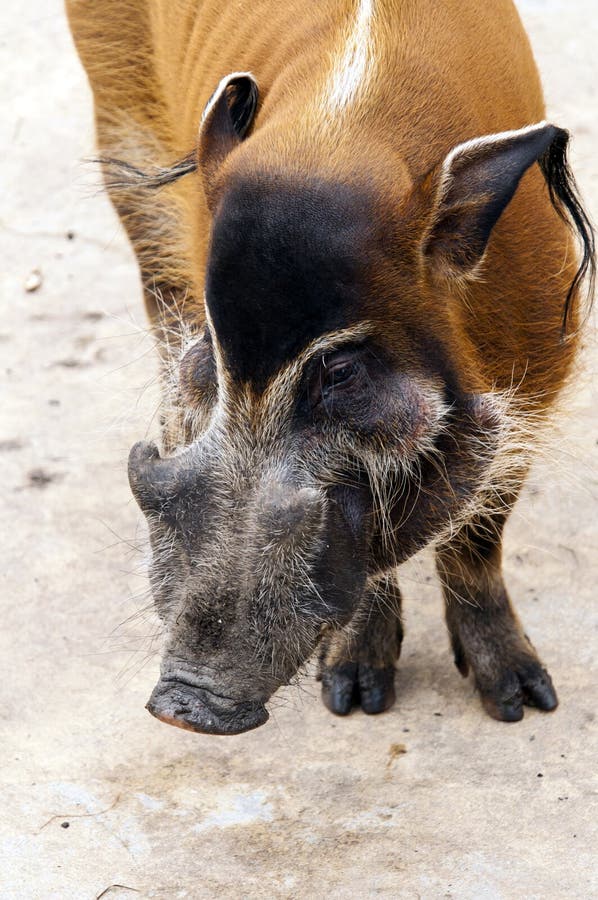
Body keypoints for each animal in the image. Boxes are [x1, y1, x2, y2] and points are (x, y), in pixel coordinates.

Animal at [66, 0, 594, 734]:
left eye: (340, 371)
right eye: (214, 353)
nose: (181, 707)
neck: (338, 135)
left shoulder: (539, 369)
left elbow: (480, 533)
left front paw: (521, 704)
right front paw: (354, 699)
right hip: (118, 106)